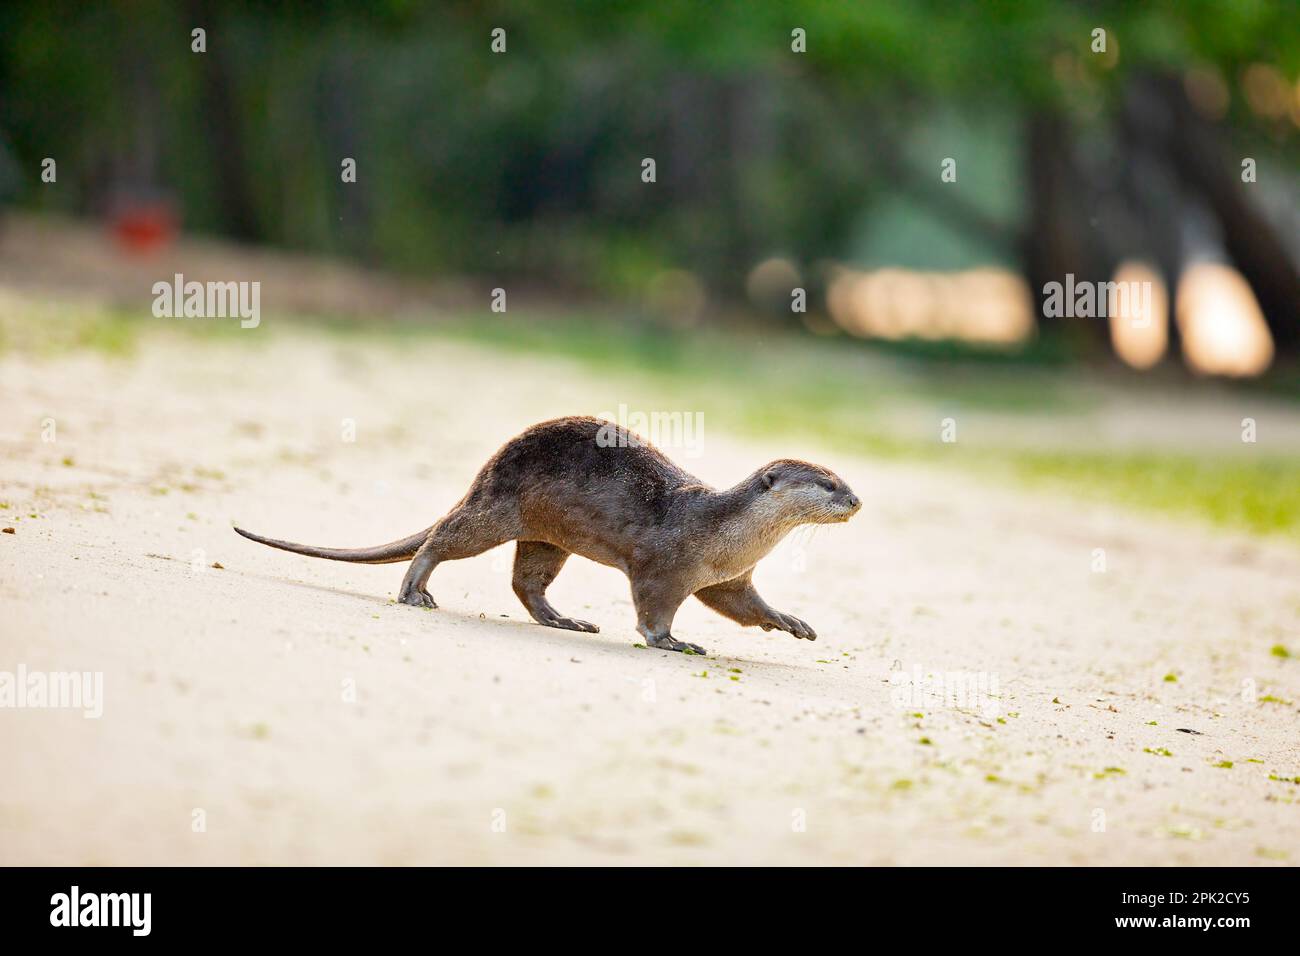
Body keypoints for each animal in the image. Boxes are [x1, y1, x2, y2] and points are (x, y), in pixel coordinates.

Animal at [234, 416, 860, 655]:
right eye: (828, 483)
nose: (856, 500)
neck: (721, 532)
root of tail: (485, 471)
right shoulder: (664, 567)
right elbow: (653, 609)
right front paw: (671, 641)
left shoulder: (727, 578)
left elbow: (744, 606)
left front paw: (791, 621)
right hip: (496, 512)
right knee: (442, 538)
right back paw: (415, 592)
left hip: (547, 538)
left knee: (526, 584)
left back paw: (566, 621)